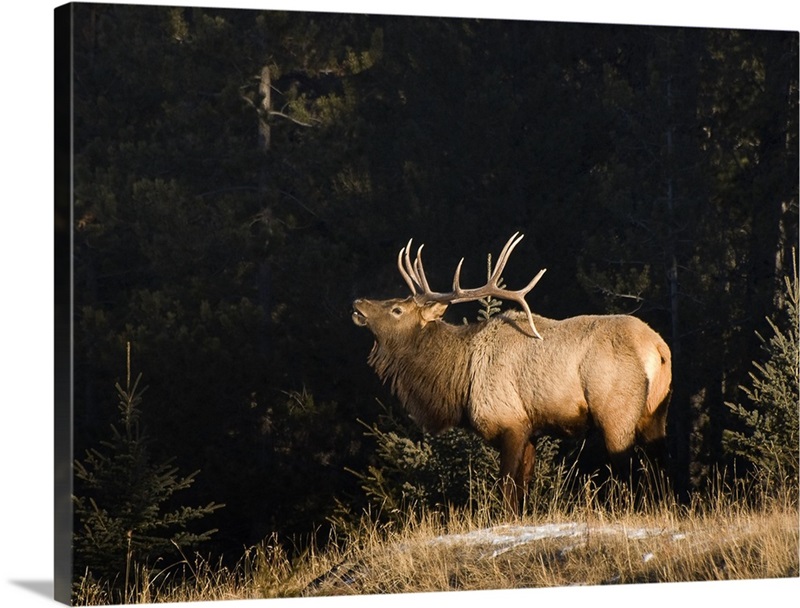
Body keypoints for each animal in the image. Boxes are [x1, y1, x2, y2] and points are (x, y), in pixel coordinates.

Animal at [351, 233, 672, 514]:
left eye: (396, 309)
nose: (357, 303)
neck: (459, 382)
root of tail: (658, 348)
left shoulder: (510, 421)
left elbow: (507, 489)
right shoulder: (532, 429)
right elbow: (523, 488)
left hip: (616, 412)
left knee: (627, 469)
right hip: (656, 412)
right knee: (658, 467)